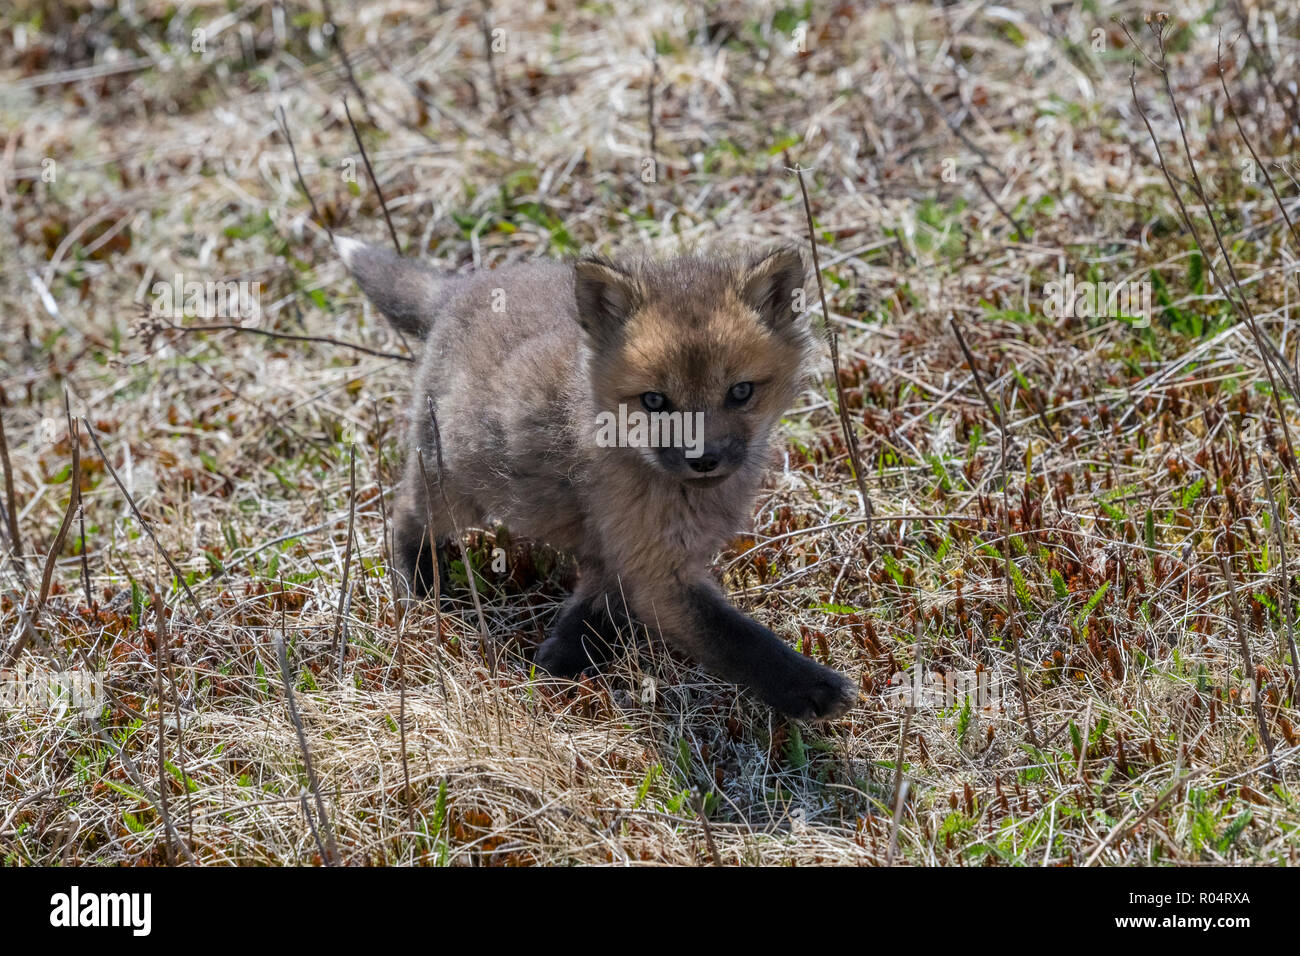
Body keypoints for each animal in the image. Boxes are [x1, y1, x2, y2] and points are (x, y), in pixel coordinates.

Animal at [337, 237, 857, 720]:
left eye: (741, 392)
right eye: (654, 401)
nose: (704, 458)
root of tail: (462, 286)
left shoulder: (629, 551)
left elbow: (600, 603)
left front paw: (561, 658)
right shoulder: (658, 573)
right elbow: (738, 640)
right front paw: (812, 688)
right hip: (453, 486)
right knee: (405, 517)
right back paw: (418, 590)